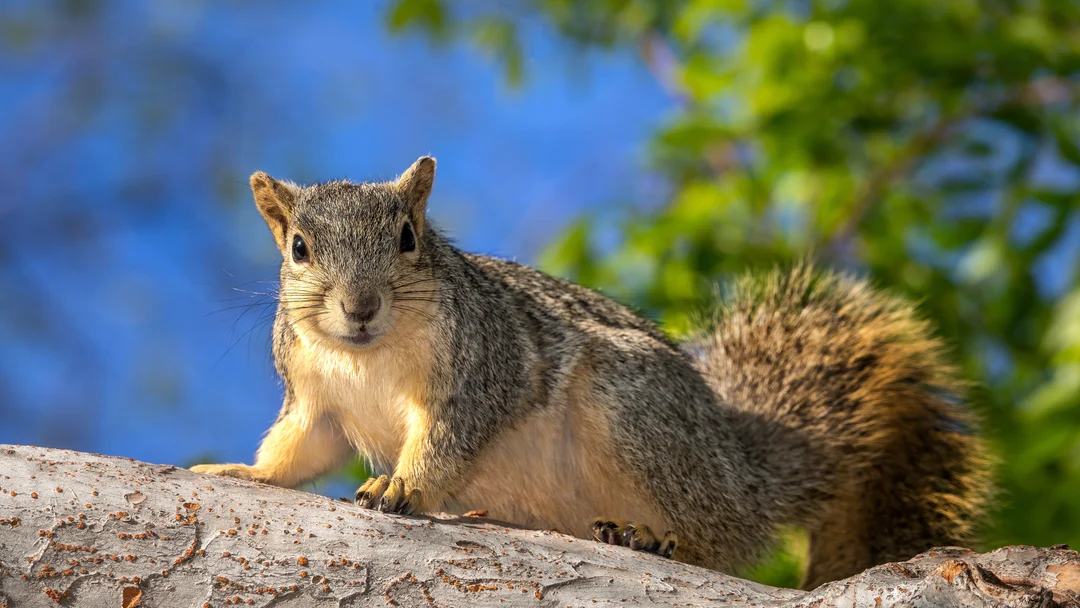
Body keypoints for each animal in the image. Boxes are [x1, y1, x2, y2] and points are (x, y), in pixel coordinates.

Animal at [191, 156, 991, 588]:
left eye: (409, 237)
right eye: (298, 247)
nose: (359, 307)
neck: (366, 354)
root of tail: (743, 473)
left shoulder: (481, 374)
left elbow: (447, 441)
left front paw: (403, 486)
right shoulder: (315, 401)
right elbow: (299, 450)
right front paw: (240, 471)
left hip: (634, 413)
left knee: (724, 543)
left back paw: (659, 541)